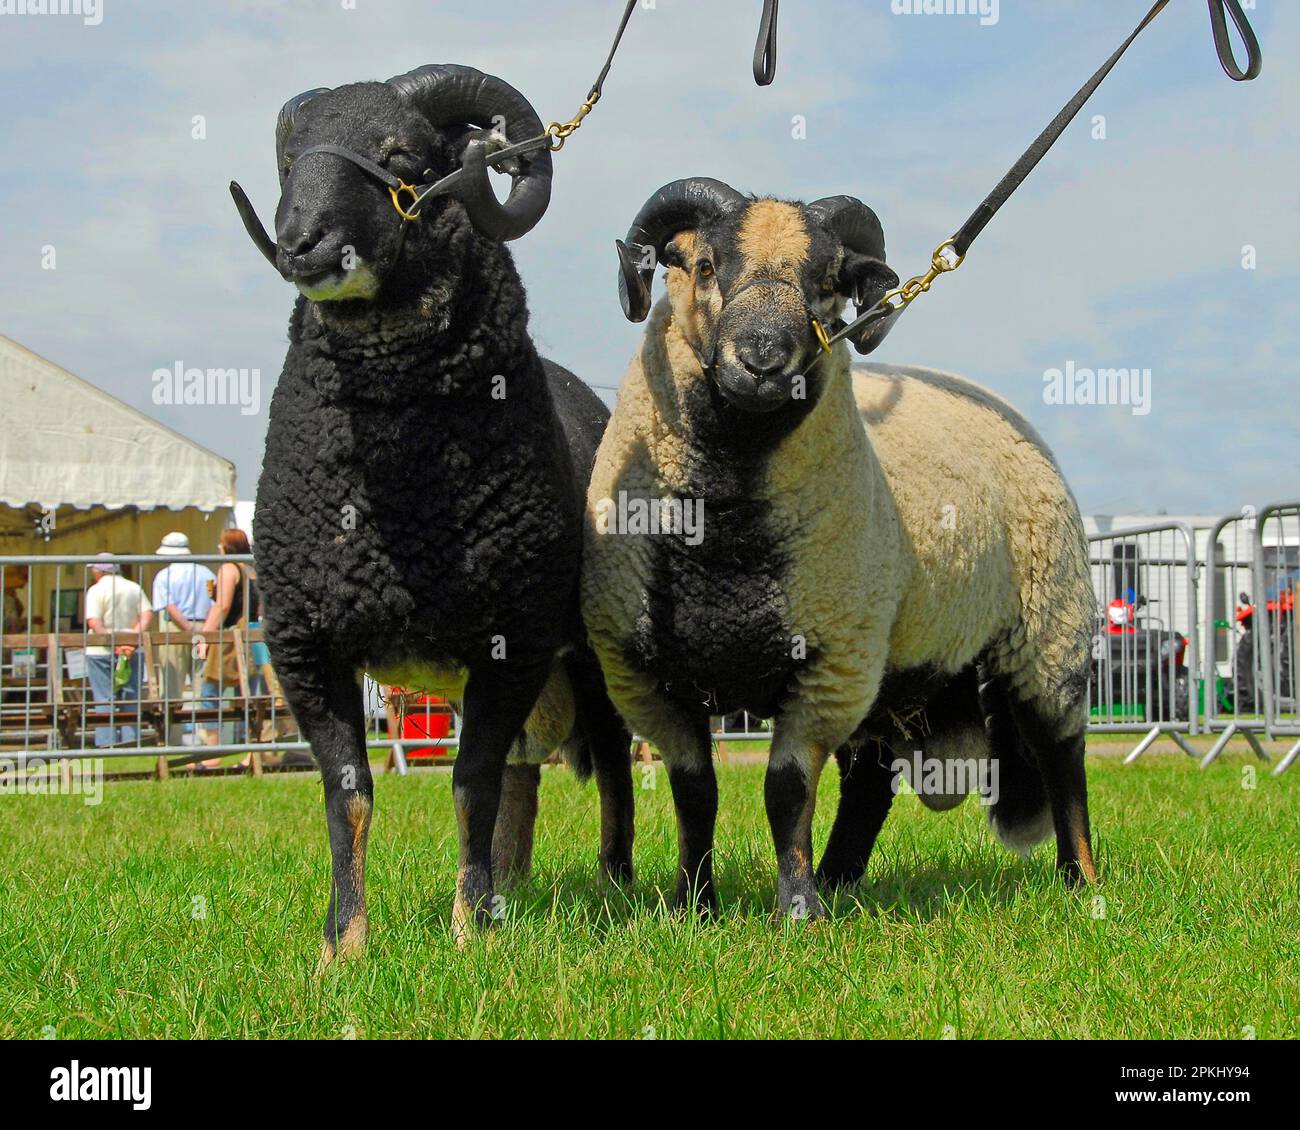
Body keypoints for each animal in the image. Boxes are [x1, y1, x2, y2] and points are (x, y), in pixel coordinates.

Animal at [248, 64, 634, 961]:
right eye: (290, 157)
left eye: (400, 156)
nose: (300, 243)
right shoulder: (305, 644)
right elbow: (349, 794)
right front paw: (343, 948)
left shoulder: (511, 639)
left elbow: (470, 784)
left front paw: (468, 933)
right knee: (528, 772)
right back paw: (514, 886)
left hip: (588, 653)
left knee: (611, 762)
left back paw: (613, 883)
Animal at [581, 177, 1097, 920]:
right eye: (704, 265)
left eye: (827, 285)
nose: (763, 361)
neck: (725, 540)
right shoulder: (645, 674)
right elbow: (695, 793)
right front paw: (692, 907)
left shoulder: (829, 663)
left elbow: (787, 790)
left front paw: (796, 914)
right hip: (895, 666)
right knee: (870, 784)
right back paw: (838, 877)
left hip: (1044, 632)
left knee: (1062, 755)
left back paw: (1081, 882)